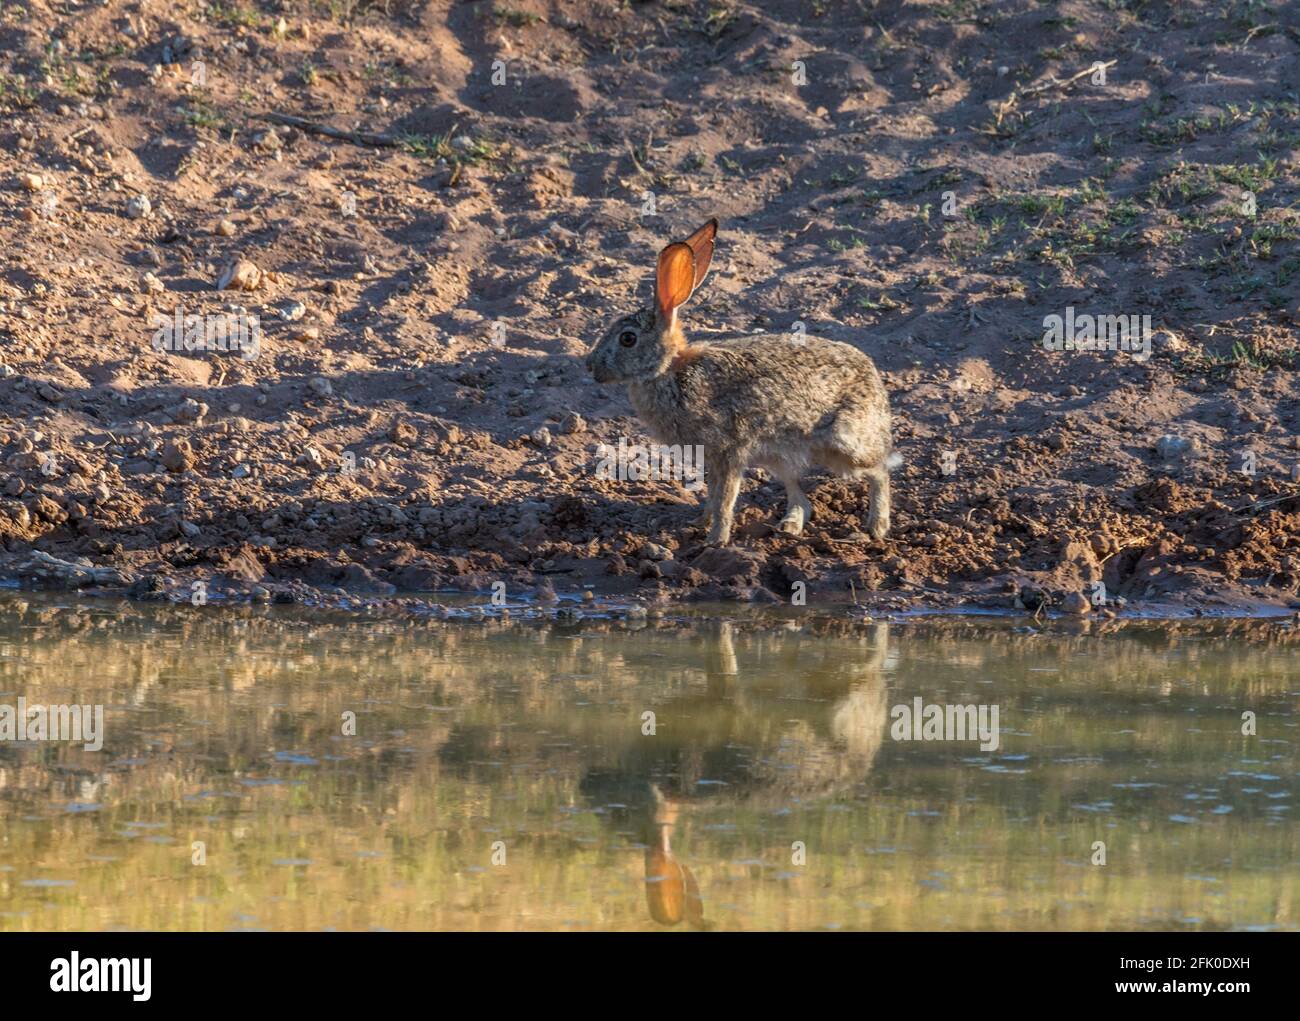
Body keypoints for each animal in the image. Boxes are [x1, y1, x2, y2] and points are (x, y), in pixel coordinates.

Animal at [585, 218, 894, 546]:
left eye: (627, 339)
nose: (590, 366)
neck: (669, 370)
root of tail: (876, 384)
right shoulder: (710, 456)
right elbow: (712, 493)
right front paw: (700, 522)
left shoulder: (730, 451)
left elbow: (725, 498)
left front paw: (716, 541)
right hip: (781, 457)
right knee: (800, 494)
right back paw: (790, 525)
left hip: (843, 444)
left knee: (880, 471)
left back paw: (877, 527)